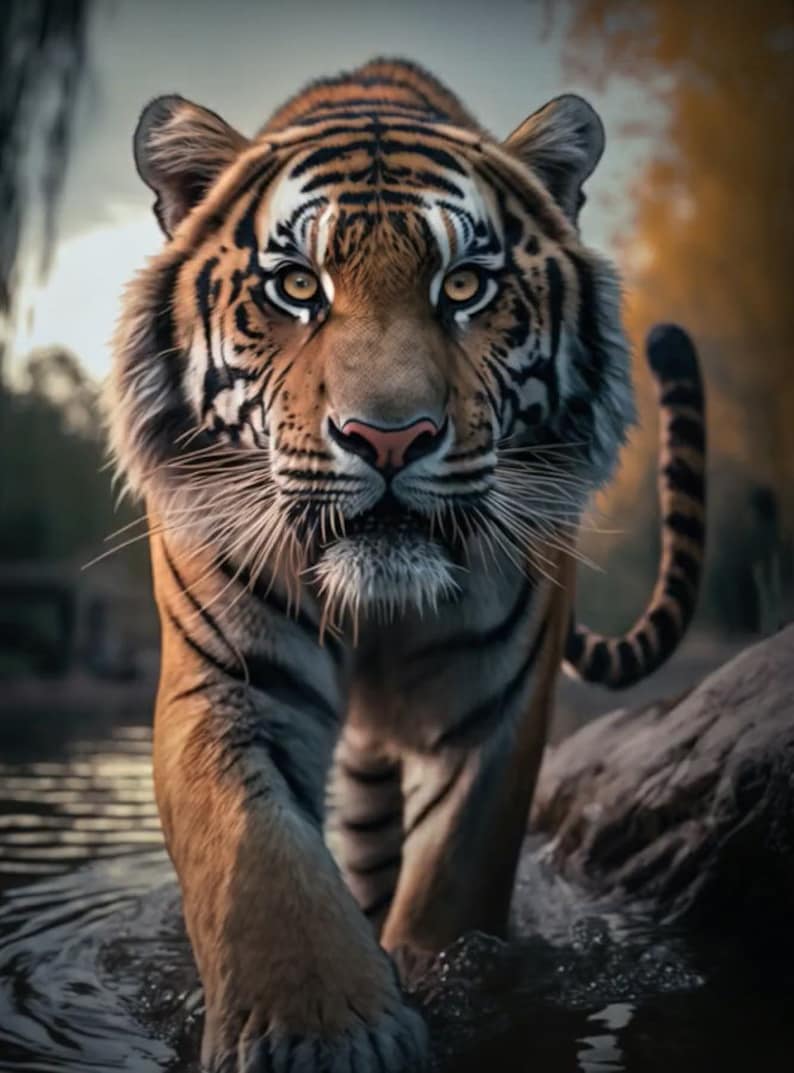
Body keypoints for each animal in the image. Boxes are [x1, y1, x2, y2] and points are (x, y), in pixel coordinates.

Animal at [109, 58, 706, 1073]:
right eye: (296, 285)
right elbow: (258, 855)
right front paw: (318, 1033)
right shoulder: (229, 679)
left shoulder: (493, 707)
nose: (389, 438)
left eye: (464, 285)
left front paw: (447, 990)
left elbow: (451, 882)